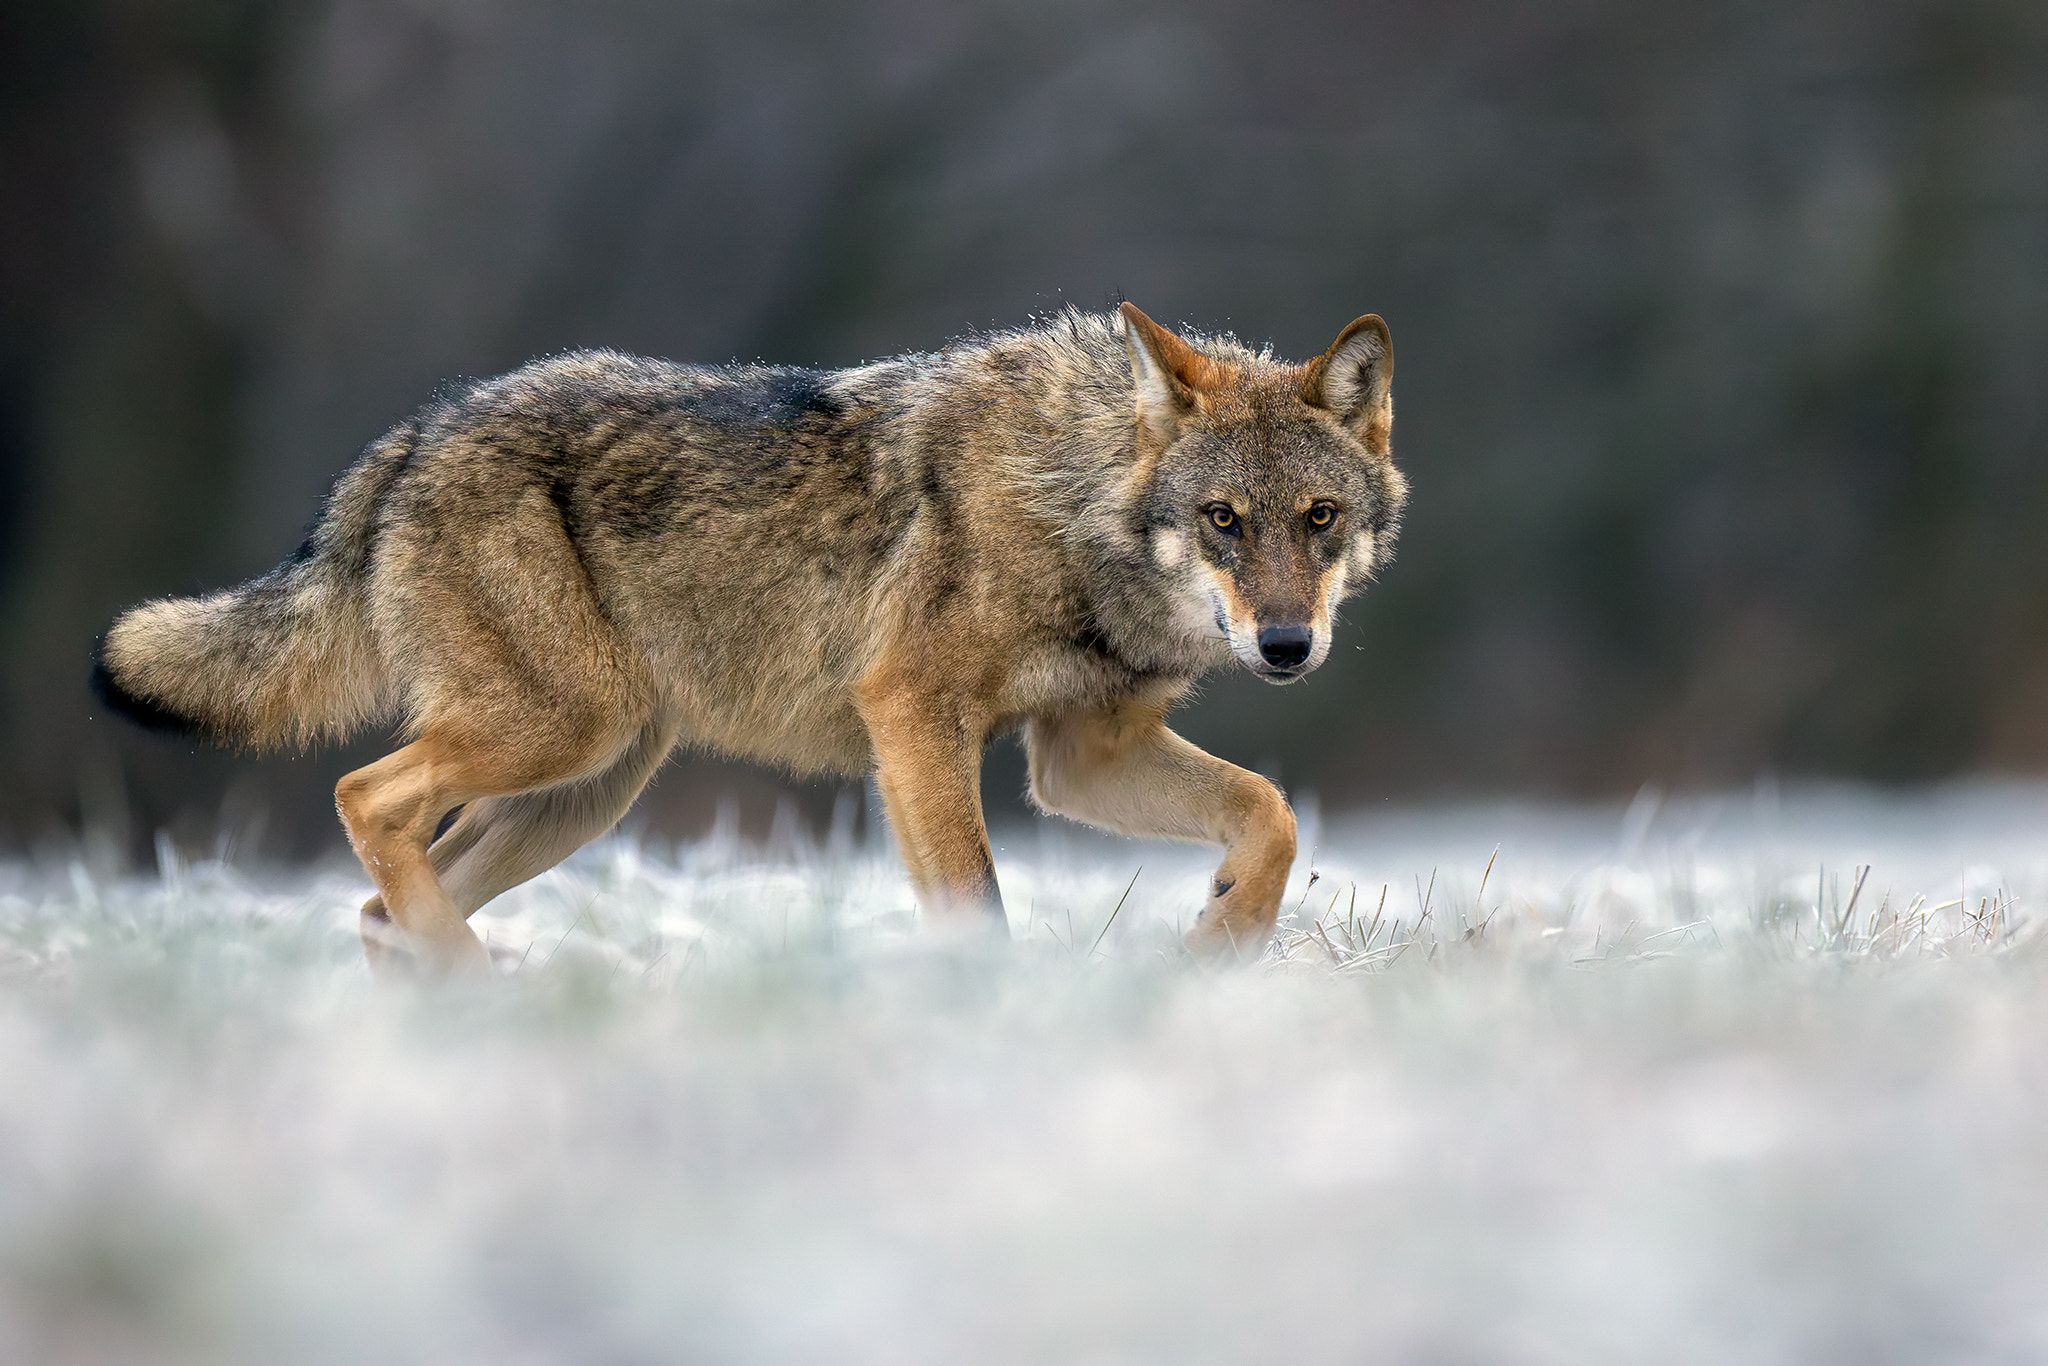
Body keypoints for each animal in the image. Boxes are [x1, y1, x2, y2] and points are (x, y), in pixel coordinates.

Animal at [94, 303, 1404, 970]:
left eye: (1317, 518)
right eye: (1223, 520)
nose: (1283, 646)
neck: (1066, 500)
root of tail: (413, 434)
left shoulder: (1081, 758)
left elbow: (1270, 814)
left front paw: (1220, 938)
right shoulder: (912, 716)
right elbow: (973, 903)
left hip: (581, 790)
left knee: (375, 909)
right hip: (561, 737)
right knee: (363, 797)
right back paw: (478, 975)